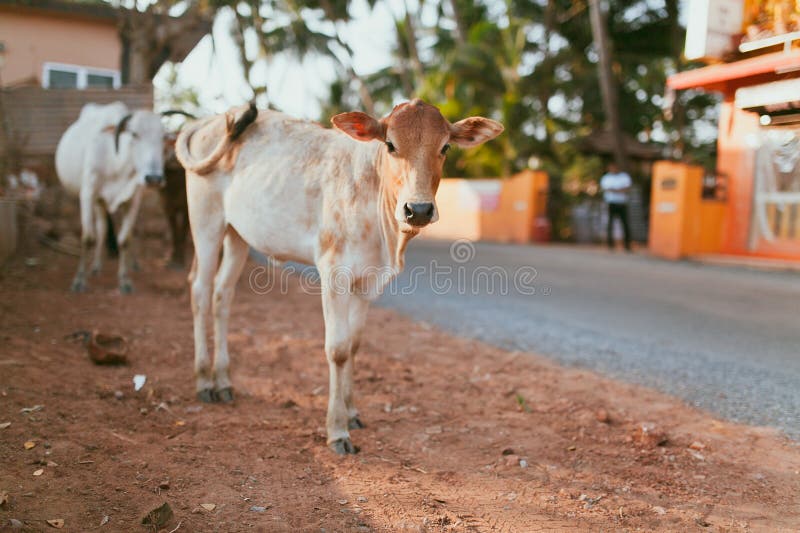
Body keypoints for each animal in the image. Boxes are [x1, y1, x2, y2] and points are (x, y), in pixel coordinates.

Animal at [56, 102, 166, 293]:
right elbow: (88, 238)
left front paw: (125, 280)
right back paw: (96, 266)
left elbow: (125, 240)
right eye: (134, 134)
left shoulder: (133, 199)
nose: (153, 178)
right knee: (101, 229)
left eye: (163, 137)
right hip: (97, 202)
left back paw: (132, 264)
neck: (116, 161)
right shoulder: (88, 194)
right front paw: (79, 280)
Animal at [175, 99, 503, 454]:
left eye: (445, 147)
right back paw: (204, 381)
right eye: (390, 145)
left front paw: (352, 413)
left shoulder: (367, 281)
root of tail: (210, 120)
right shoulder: (334, 273)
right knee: (200, 290)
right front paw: (337, 429)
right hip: (206, 222)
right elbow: (338, 349)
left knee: (222, 296)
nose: (418, 210)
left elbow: (355, 345)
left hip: (238, 235)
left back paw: (223, 380)